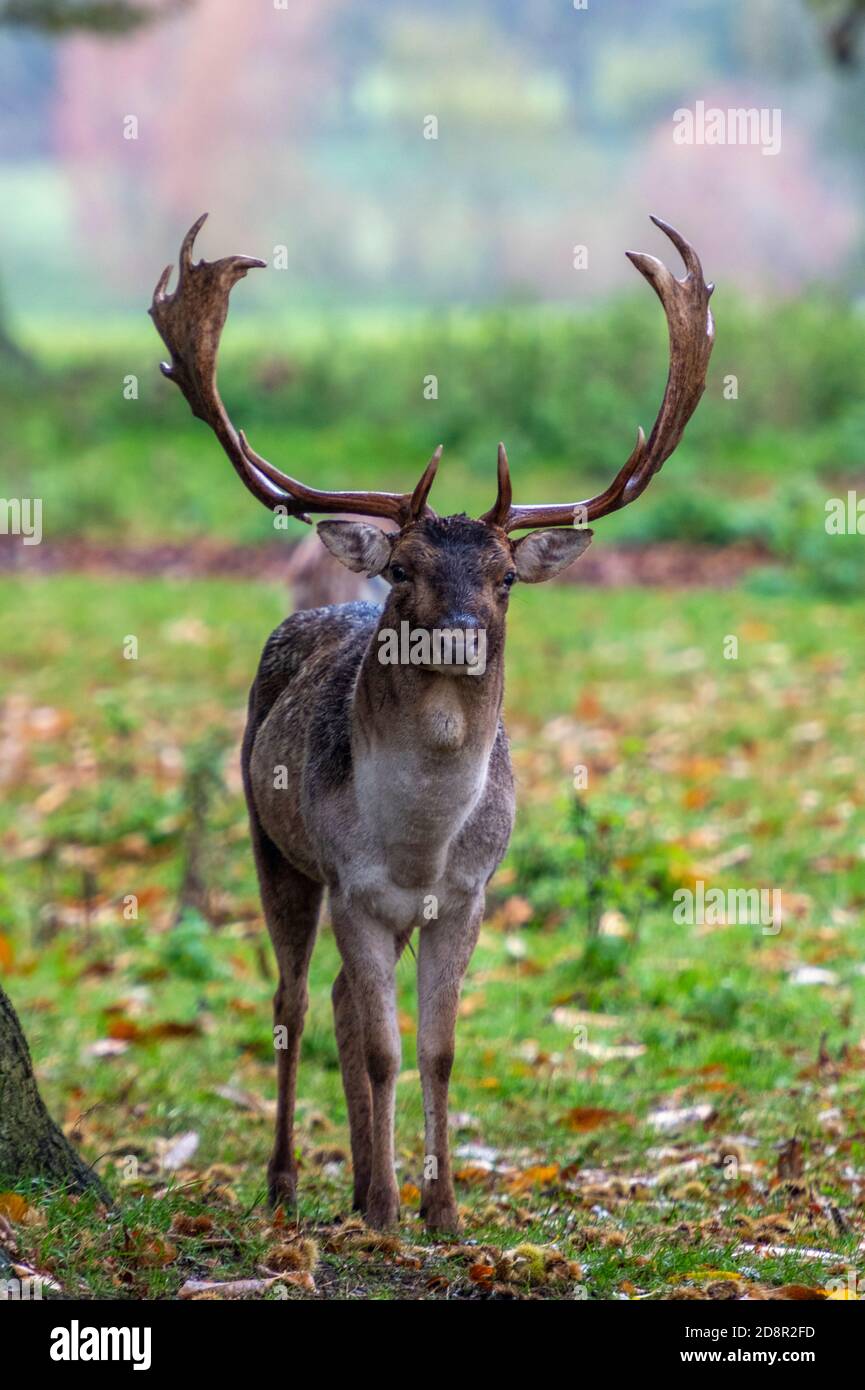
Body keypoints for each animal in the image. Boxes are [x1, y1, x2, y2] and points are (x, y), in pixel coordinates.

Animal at [150, 214, 714, 1232]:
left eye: (505, 577)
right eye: (404, 568)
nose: (457, 630)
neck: (415, 846)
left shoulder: (469, 895)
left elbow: (439, 1051)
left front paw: (441, 1211)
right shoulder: (353, 887)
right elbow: (381, 1048)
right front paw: (386, 1209)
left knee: (336, 999)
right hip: (272, 845)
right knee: (293, 1001)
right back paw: (290, 1184)